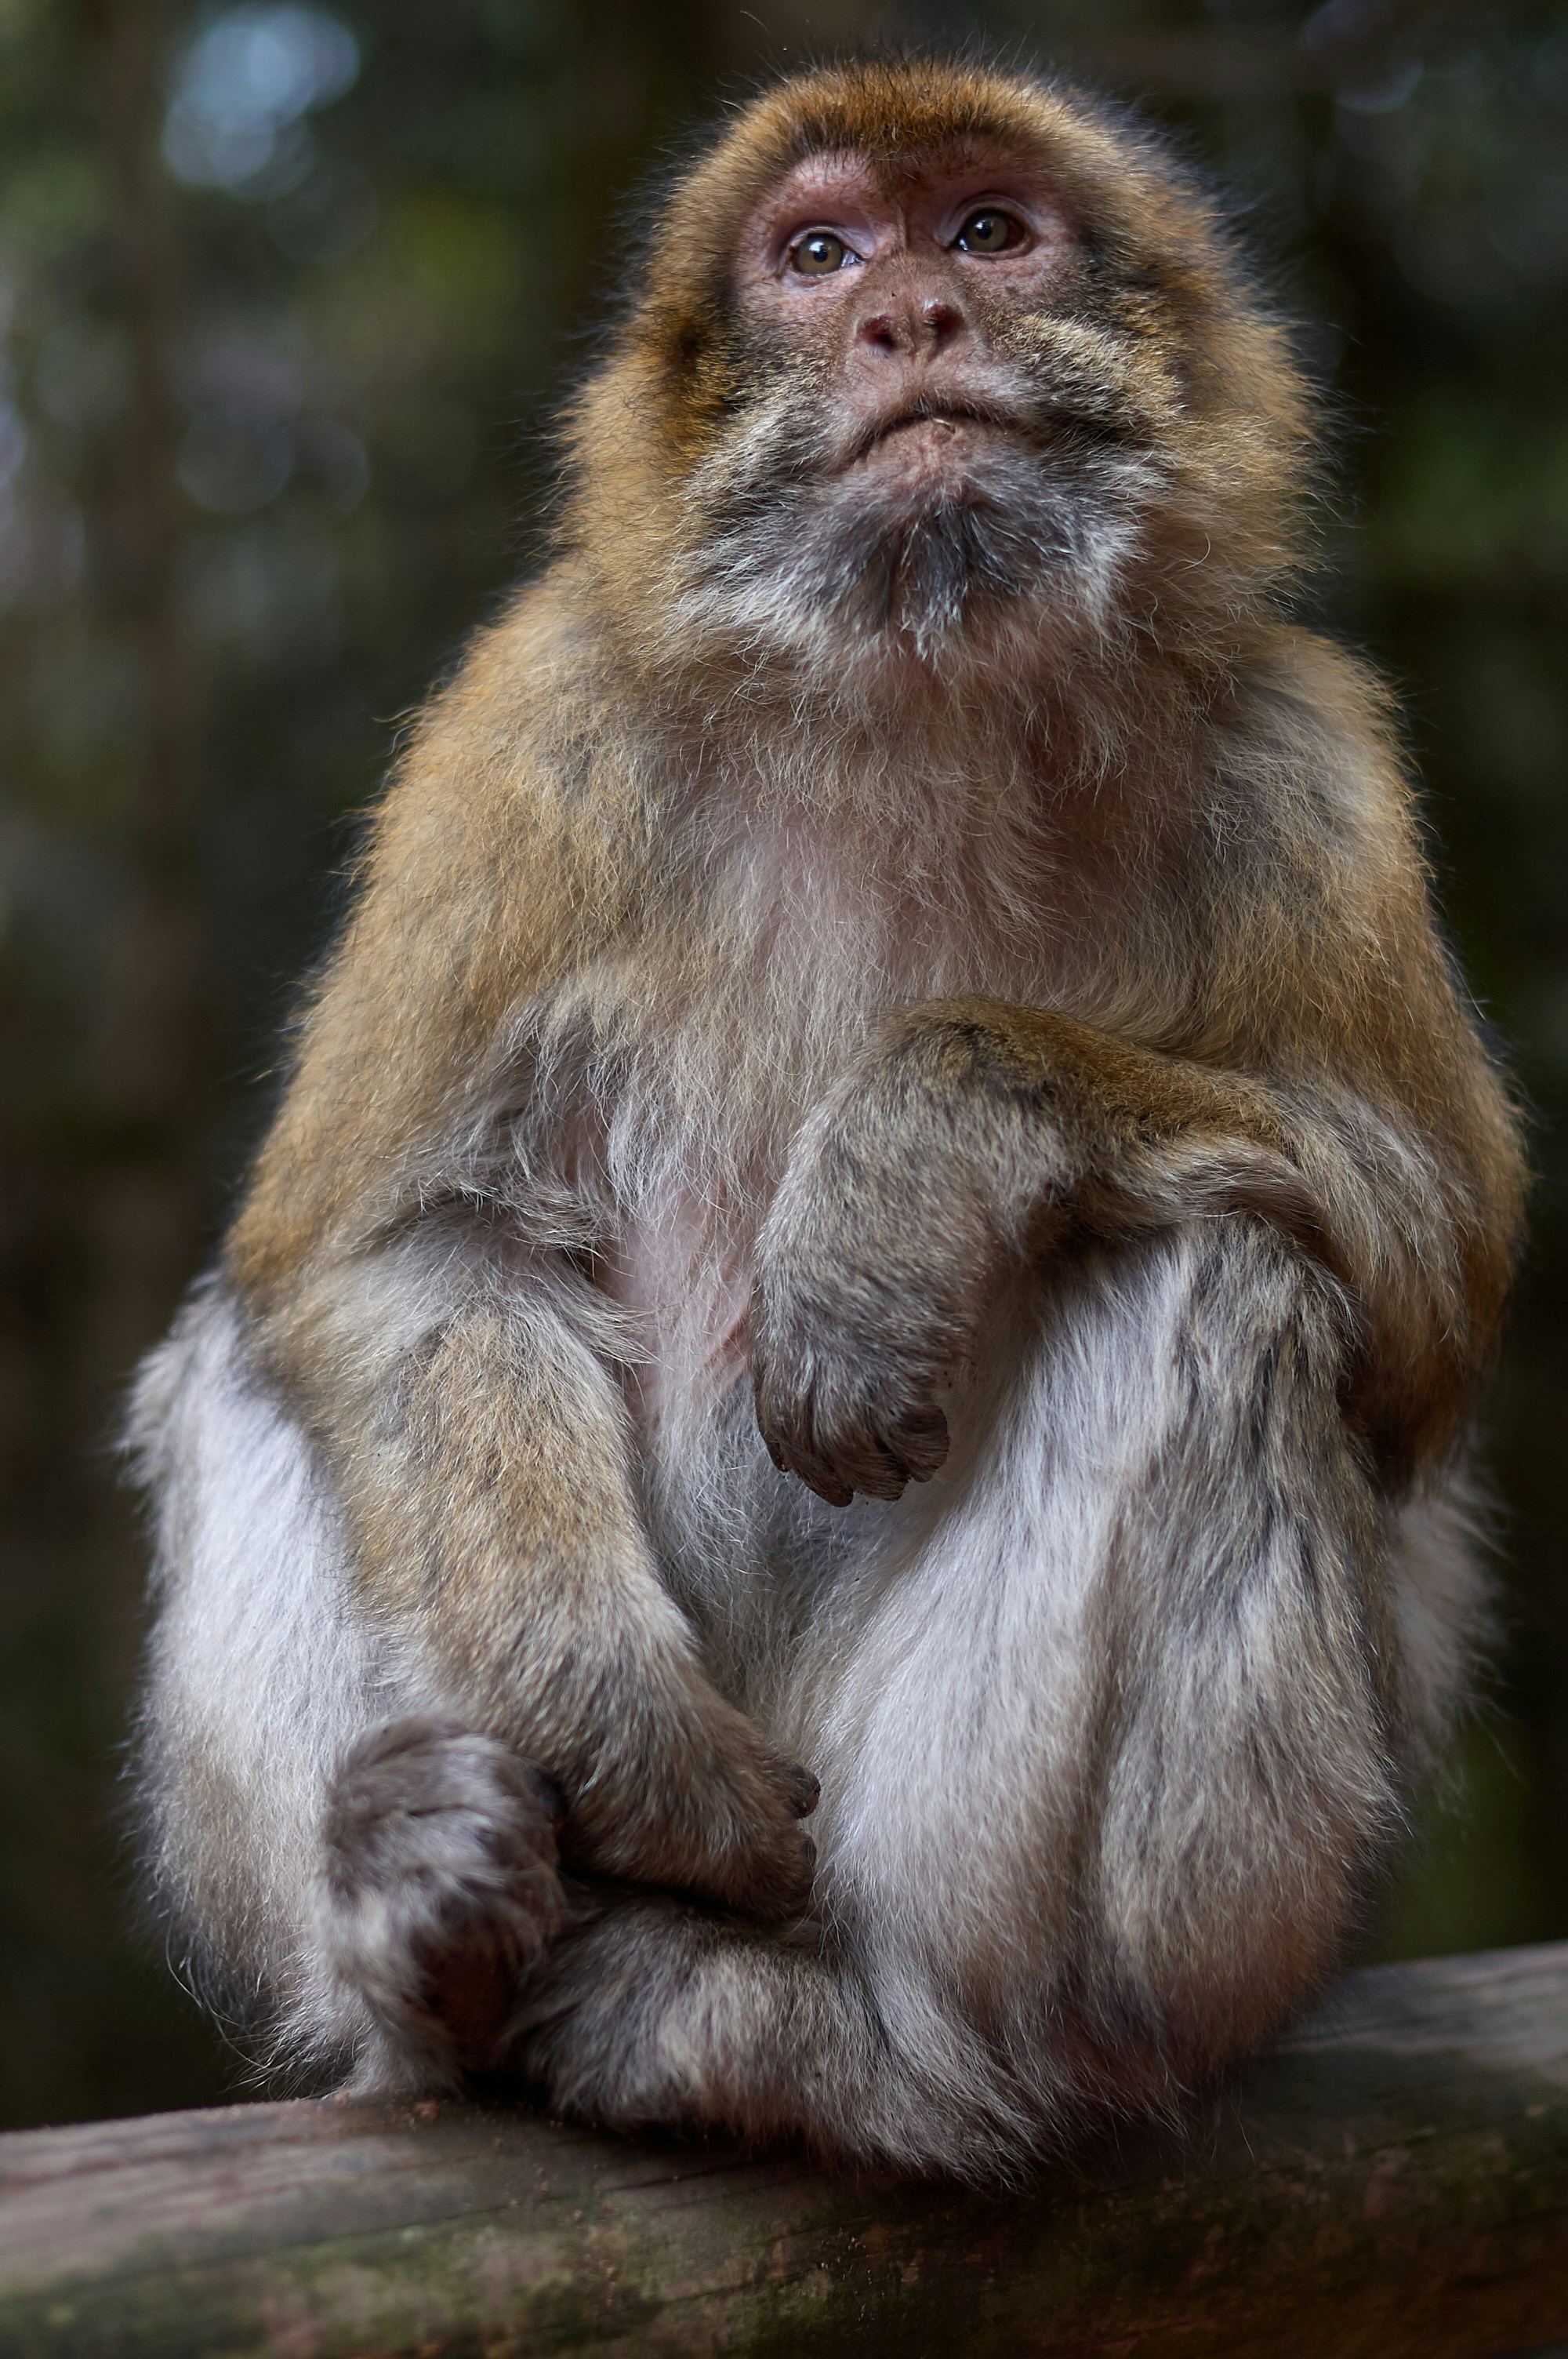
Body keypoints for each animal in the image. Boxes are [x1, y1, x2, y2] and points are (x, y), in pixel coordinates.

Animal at [128, 55, 1526, 2182]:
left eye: (987, 233)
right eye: (814, 254)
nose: (907, 319)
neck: (917, 686)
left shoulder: (1302, 756)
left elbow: (1430, 1266)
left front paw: (914, 1150)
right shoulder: (534, 728)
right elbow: (388, 1247)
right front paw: (612, 1727)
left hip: (1190, 1936)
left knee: (1221, 1272)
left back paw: (867, 2042)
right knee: (249, 1343)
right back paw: (415, 1919)